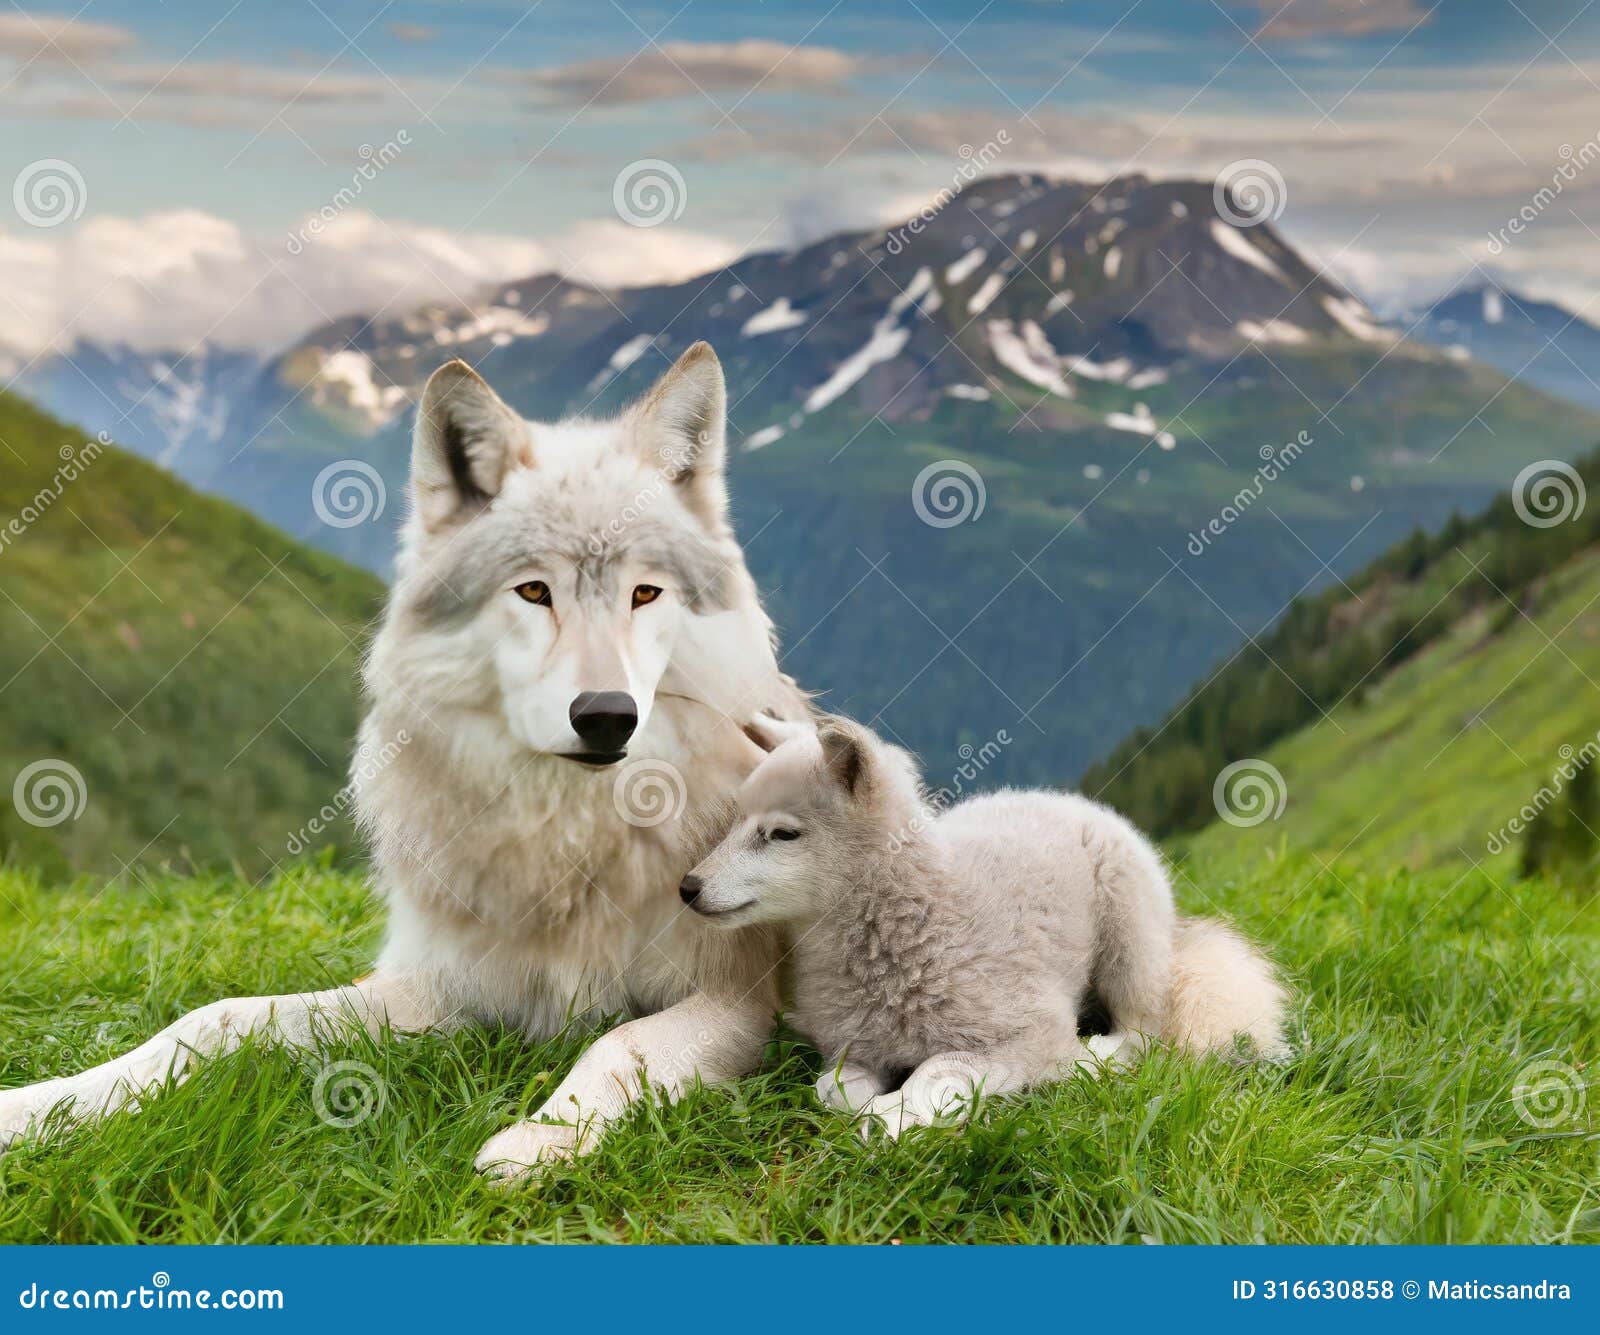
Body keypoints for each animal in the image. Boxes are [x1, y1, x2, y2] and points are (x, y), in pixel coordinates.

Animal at [0, 343, 808, 1180]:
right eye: (533, 590)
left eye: (645, 593)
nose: (607, 714)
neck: (568, 839)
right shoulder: (437, 985)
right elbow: (214, 1019)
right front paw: (39, 1106)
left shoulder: (736, 998)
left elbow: (620, 1042)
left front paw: (538, 1139)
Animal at [681, 714, 1288, 1136]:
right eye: (734, 821)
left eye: (783, 834)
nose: (688, 888)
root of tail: (1064, 800)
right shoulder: (854, 1050)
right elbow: (829, 1089)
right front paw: (875, 1107)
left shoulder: (1027, 1028)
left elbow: (939, 1068)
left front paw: (897, 1116)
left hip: (1130, 939)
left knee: (1141, 1032)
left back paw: (1090, 1060)